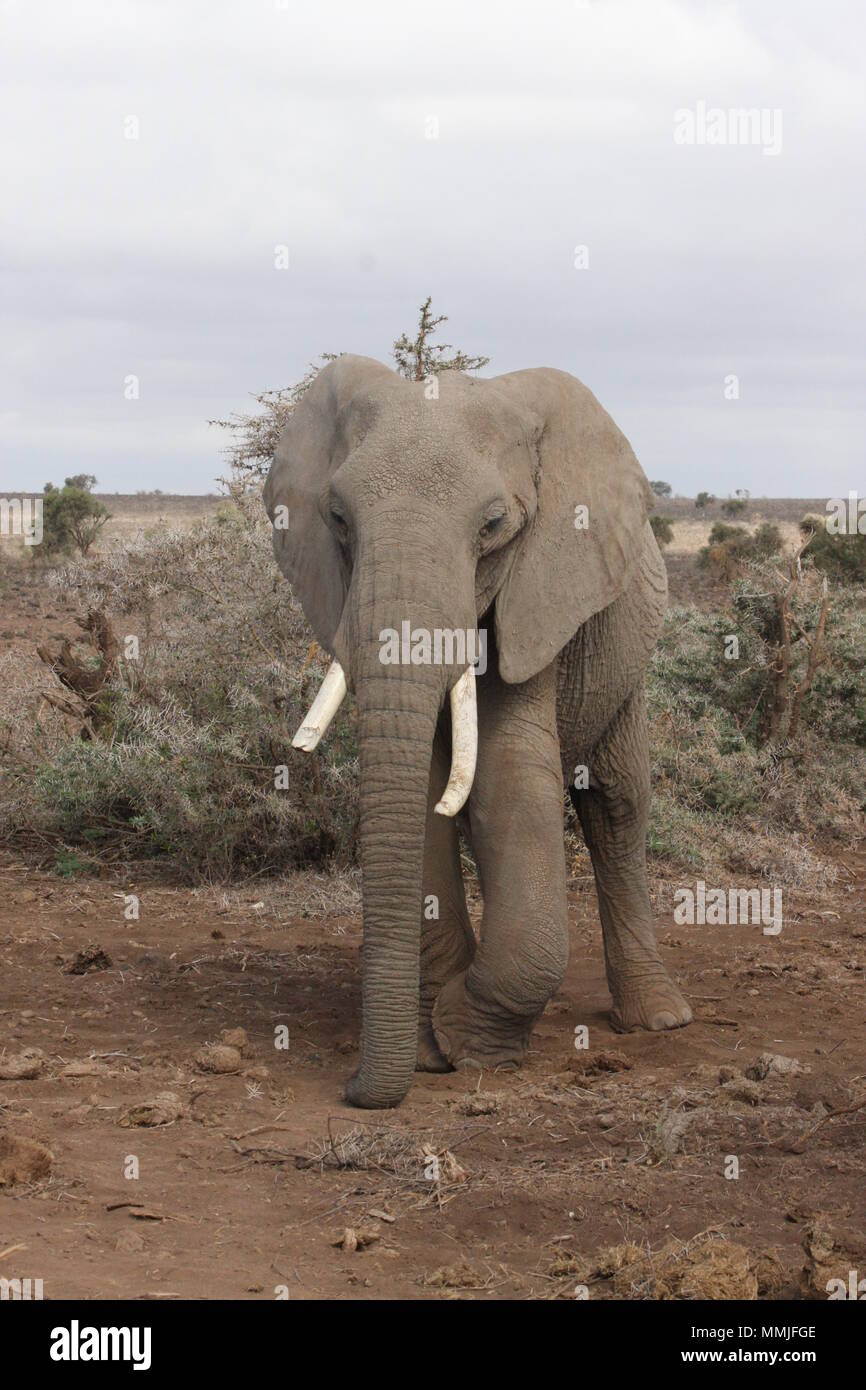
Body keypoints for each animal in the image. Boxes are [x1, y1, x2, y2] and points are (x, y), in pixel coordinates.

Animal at [263, 354, 692, 1109]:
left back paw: (658, 1019)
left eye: (493, 526)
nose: (352, 1088)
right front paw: (430, 1049)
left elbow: (508, 778)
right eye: (337, 518)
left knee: (617, 804)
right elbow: (427, 800)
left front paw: (466, 1040)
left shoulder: (537, 592)